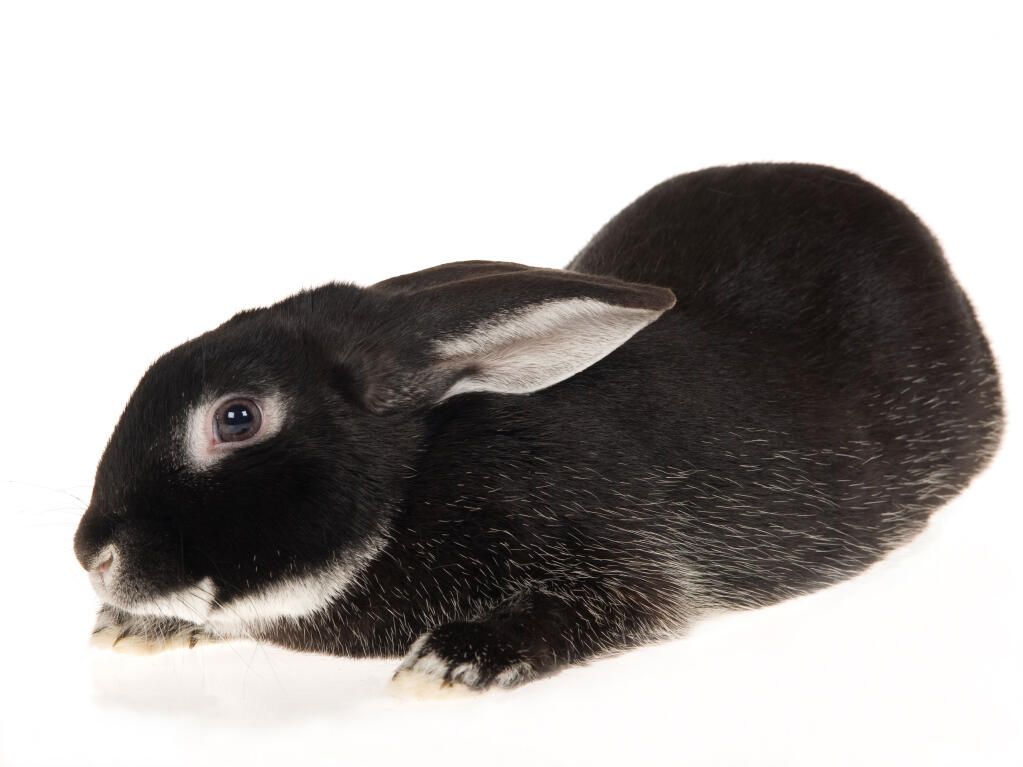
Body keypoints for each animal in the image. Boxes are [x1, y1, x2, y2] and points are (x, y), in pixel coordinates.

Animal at [73, 163, 1004, 694]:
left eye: (237, 417)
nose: (92, 556)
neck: (411, 482)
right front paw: (132, 626)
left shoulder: (624, 560)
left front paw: (452, 663)